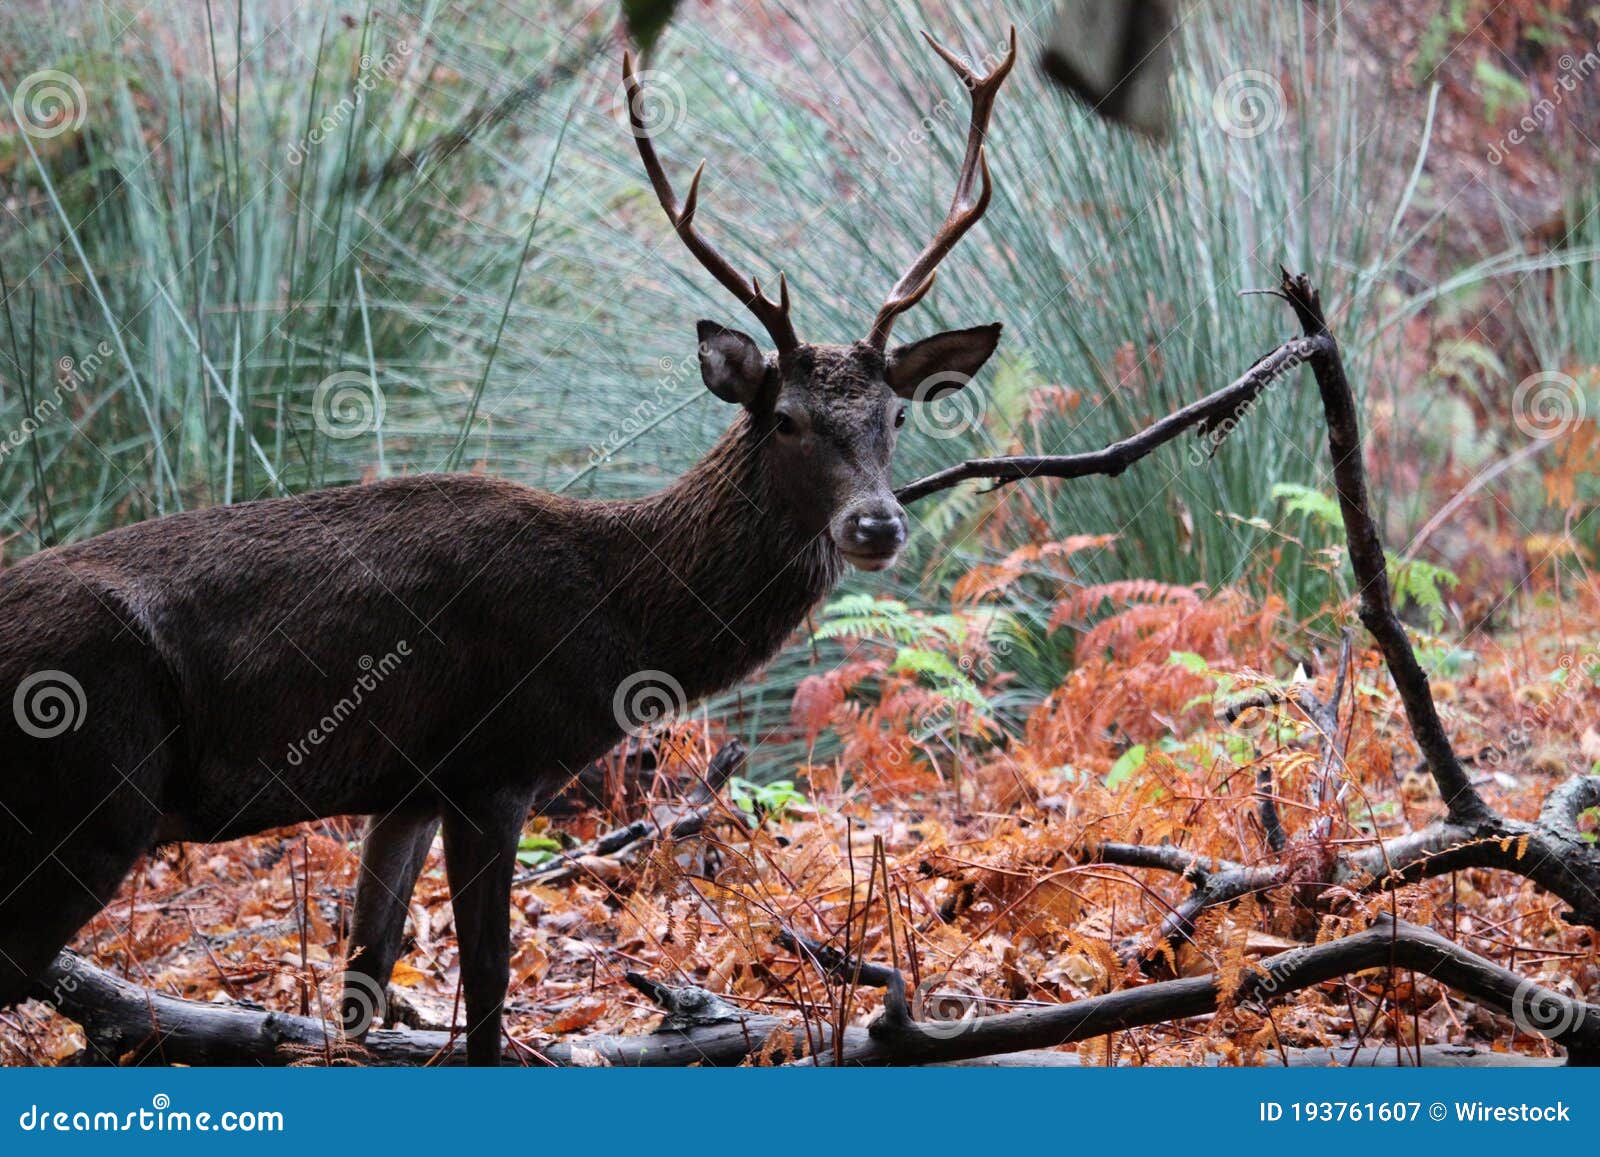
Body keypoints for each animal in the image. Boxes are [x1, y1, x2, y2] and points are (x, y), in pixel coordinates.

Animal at [0, 28, 1015, 1065]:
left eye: (898, 414)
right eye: (786, 419)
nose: (876, 524)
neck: (619, 618)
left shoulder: (405, 784)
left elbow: (365, 979)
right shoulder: (491, 762)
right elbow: (487, 988)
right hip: (87, 797)